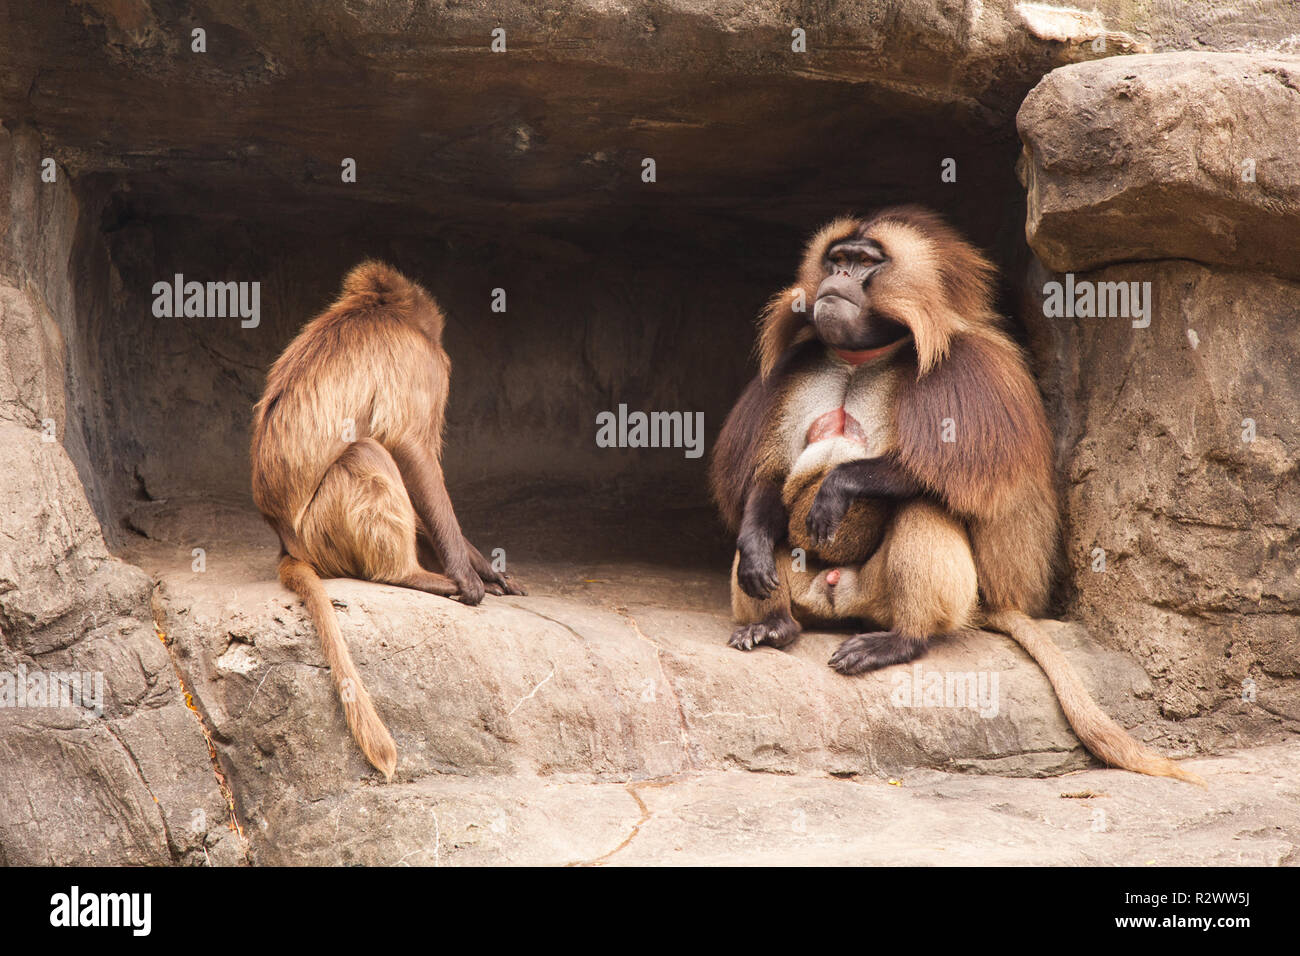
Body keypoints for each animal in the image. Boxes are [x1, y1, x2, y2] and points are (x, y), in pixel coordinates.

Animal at [250, 261, 524, 781]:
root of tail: (287, 543)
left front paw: (483, 566)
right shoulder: (423, 360)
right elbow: (408, 445)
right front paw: (466, 573)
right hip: (325, 530)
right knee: (368, 451)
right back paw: (409, 574)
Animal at [710, 206, 1202, 785]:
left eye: (865, 262)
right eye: (836, 258)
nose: (839, 278)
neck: (861, 358)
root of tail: (836, 598)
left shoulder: (972, 372)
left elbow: (951, 477)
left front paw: (837, 487)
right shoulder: (797, 370)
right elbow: (769, 478)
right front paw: (757, 549)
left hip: (915, 598)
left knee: (924, 510)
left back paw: (900, 640)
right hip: (815, 592)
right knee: (770, 557)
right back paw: (771, 625)